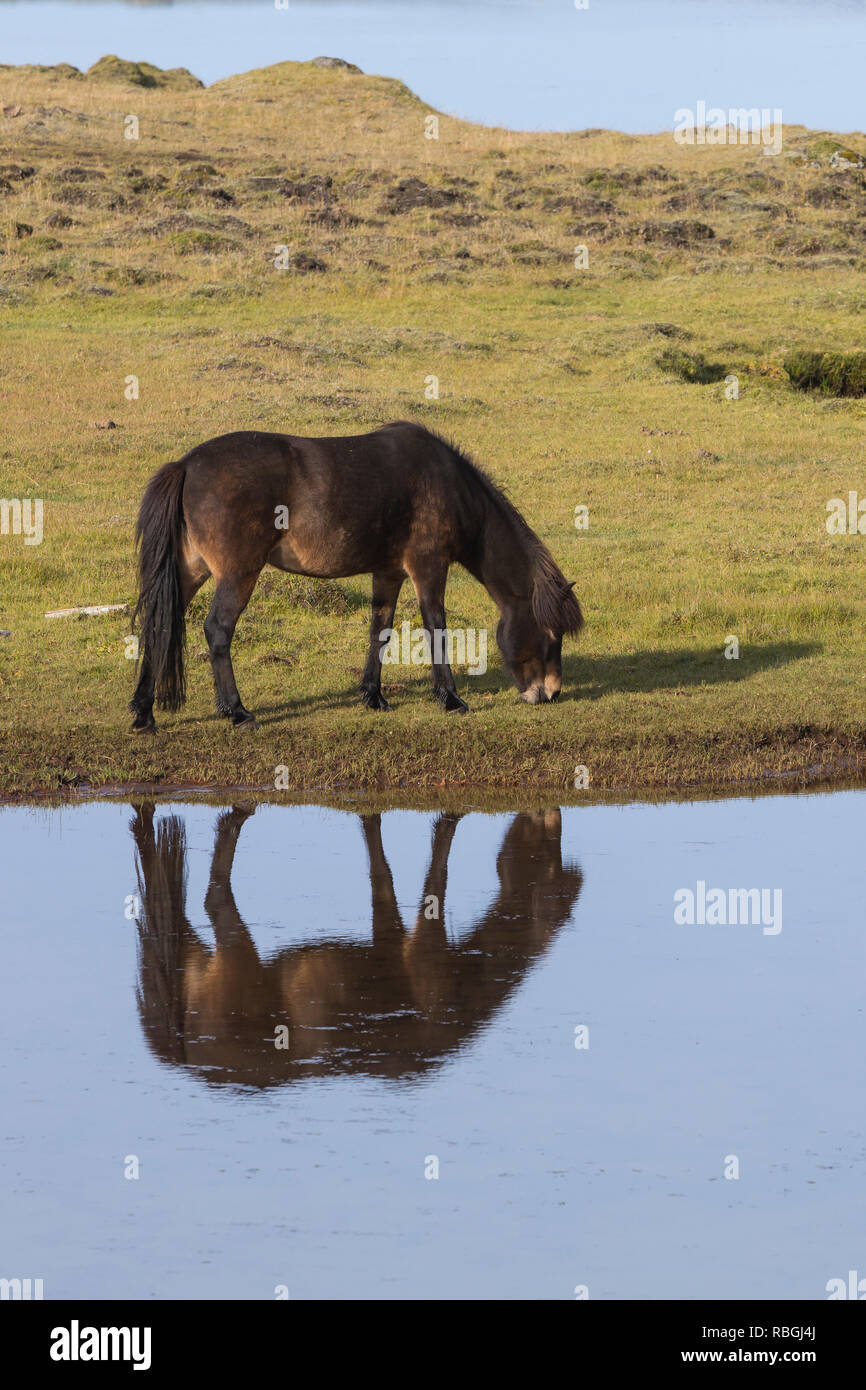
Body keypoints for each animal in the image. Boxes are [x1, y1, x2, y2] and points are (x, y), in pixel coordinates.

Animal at [129, 420, 583, 731]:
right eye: (552, 634)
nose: (552, 693)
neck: (447, 483)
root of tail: (186, 465)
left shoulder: (389, 572)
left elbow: (379, 630)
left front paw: (373, 696)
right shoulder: (428, 567)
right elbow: (436, 628)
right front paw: (451, 698)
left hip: (190, 571)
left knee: (160, 623)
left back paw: (143, 713)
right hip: (237, 574)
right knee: (218, 630)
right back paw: (237, 712)